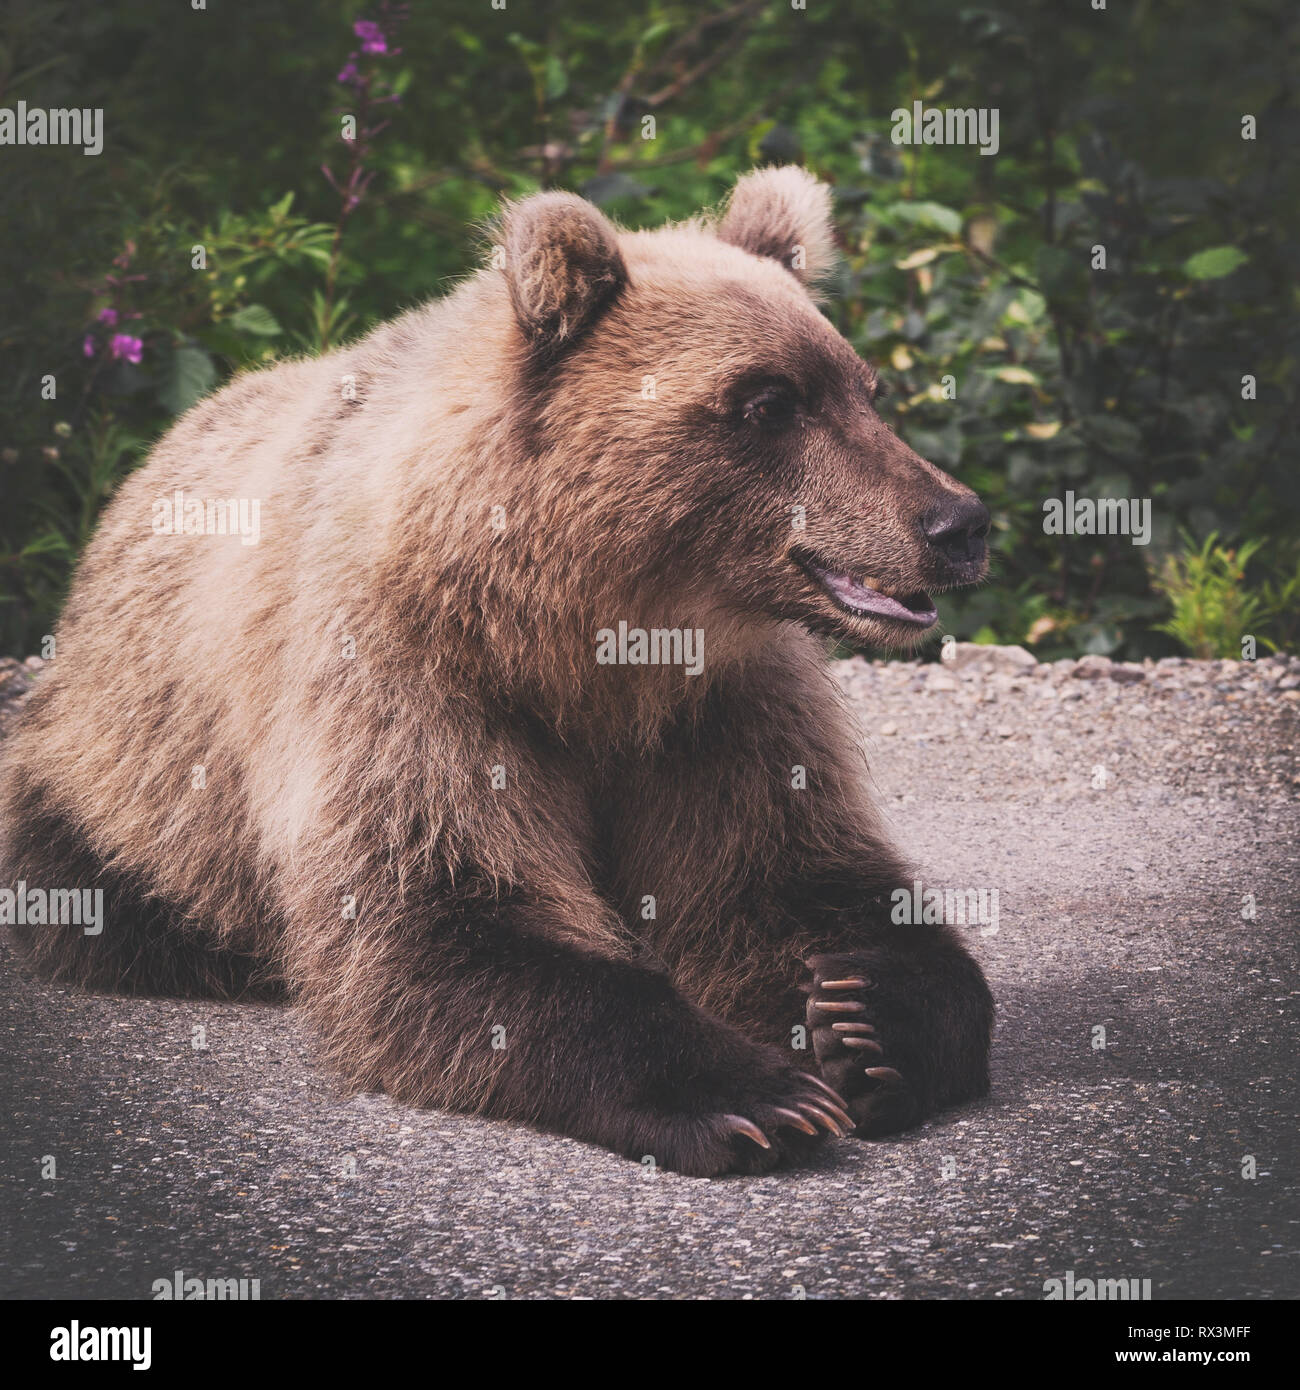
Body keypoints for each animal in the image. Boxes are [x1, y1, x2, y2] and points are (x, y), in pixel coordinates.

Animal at [0, 166, 994, 1177]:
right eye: (769, 401)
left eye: (864, 390)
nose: (958, 523)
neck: (582, 641)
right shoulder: (412, 674)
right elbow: (446, 916)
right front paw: (754, 1094)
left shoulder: (720, 707)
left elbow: (786, 874)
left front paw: (863, 1022)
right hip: (129, 762)